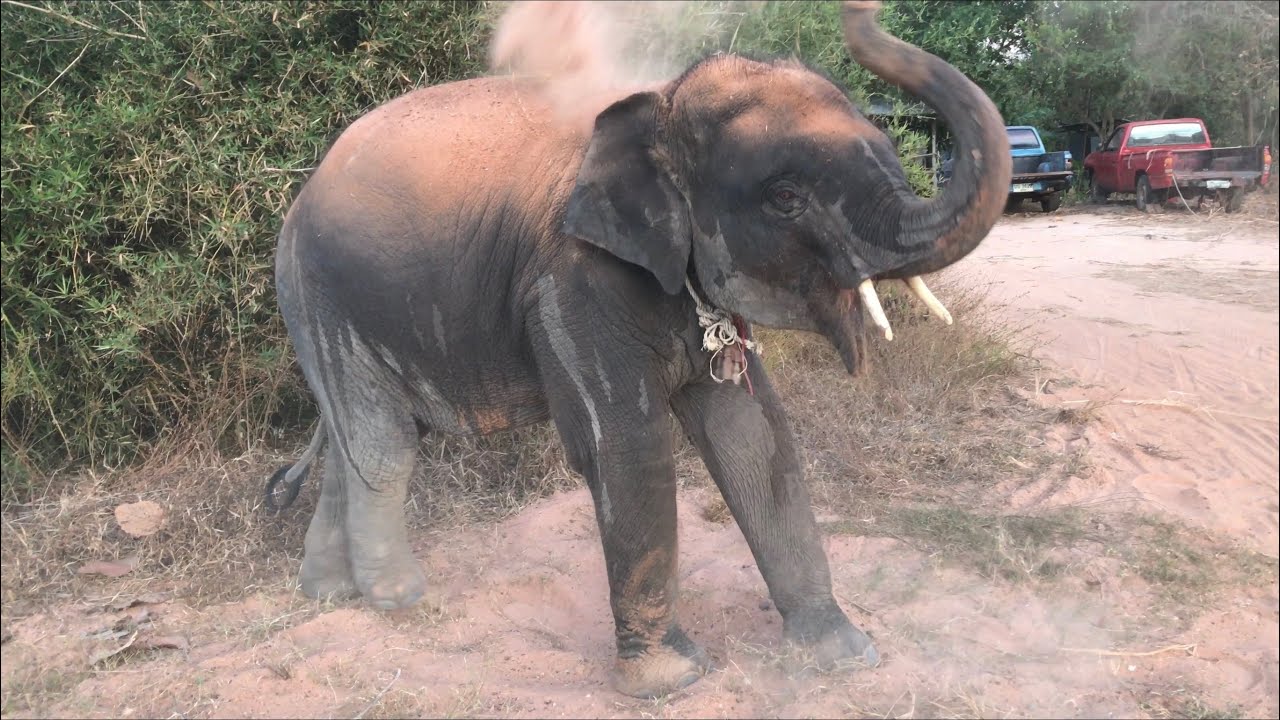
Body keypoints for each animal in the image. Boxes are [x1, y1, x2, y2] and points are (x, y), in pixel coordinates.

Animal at [265, 0, 1011, 699]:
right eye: (786, 198)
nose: (865, 11)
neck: (659, 106)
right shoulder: (571, 282)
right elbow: (624, 443)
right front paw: (672, 681)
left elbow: (753, 432)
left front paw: (843, 656)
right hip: (319, 290)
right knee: (383, 442)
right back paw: (399, 600)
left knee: (355, 439)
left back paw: (331, 594)